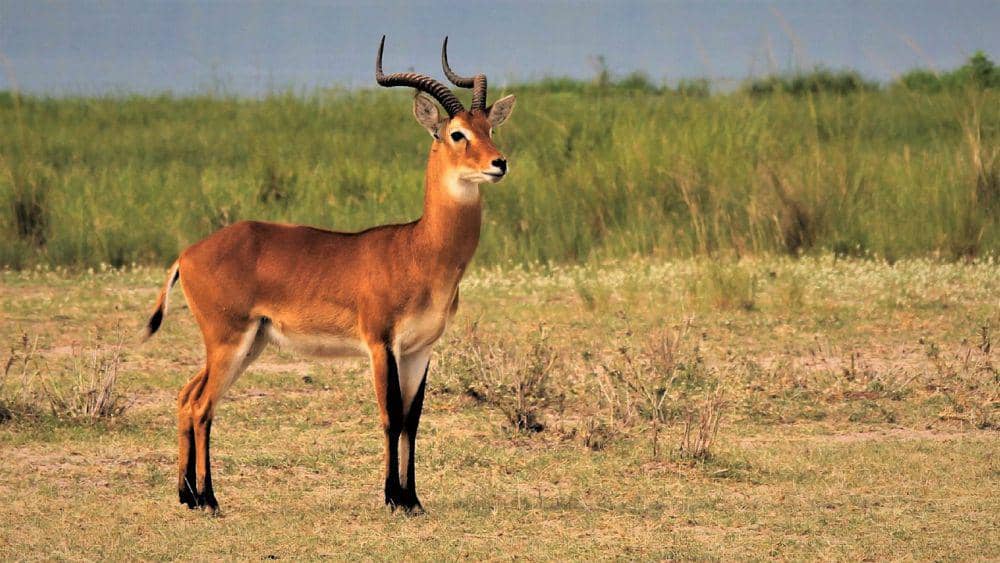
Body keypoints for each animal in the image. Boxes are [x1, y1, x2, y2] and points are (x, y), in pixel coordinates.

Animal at [141, 36, 515, 515]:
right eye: (457, 134)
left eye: (490, 128)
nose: (499, 163)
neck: (419, 250)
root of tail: (187, 254)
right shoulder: (381, 344)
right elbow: (390, 414)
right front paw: (392, 498)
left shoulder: (420, 349)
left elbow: (412, 419)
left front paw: (413, 499)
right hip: (228, 341)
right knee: (203, 405)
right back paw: (208, 499)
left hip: (248, 344)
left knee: (187, 396)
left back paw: (186, 496)